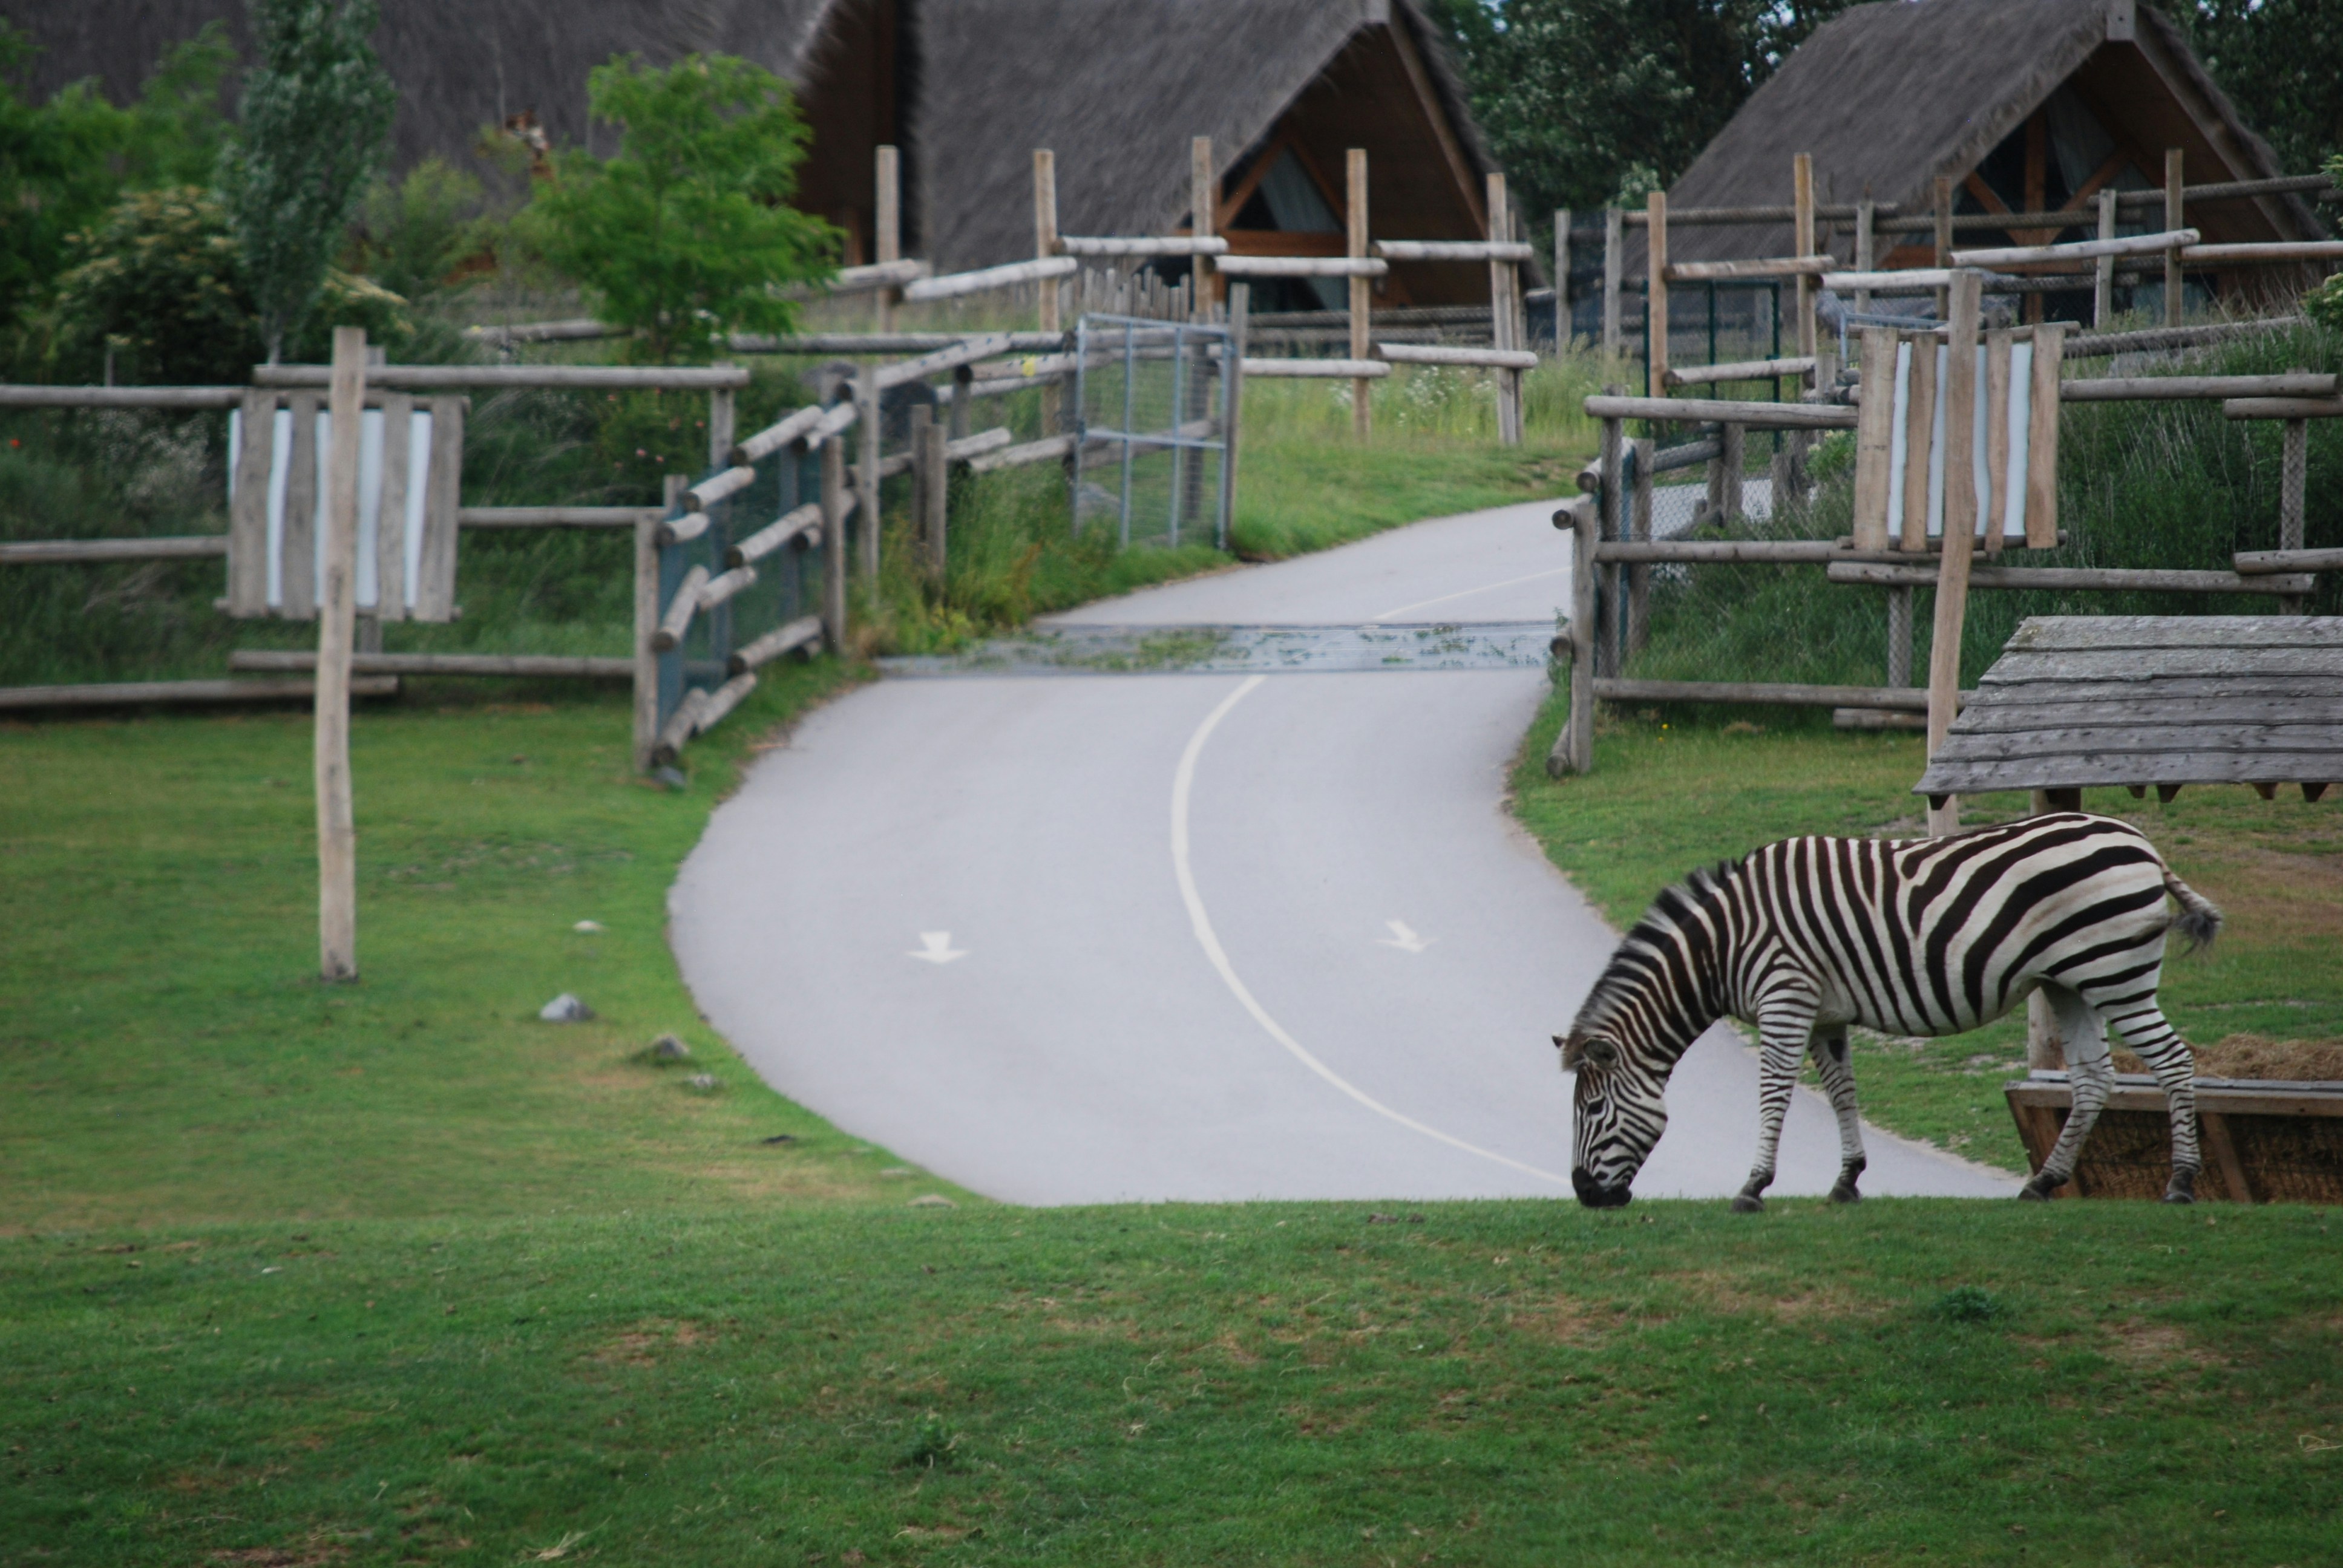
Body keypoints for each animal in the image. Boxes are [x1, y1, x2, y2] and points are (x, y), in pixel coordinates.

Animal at [1555, 813, 2221, 1210]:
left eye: (1592, 1110)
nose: (1585, 1194)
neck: (1723, 944)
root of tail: (2139, 842)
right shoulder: (1823, 1014)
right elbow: (1842, 1092)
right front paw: (1847, 1179)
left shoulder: (1785, 996)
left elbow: (1774, 1092)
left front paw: (1752, 1186)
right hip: (2072, 983)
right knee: (2093, 1079)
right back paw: (2042, 1183)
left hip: (2115, 974)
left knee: (2173, 1061)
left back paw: (2181, 1182)